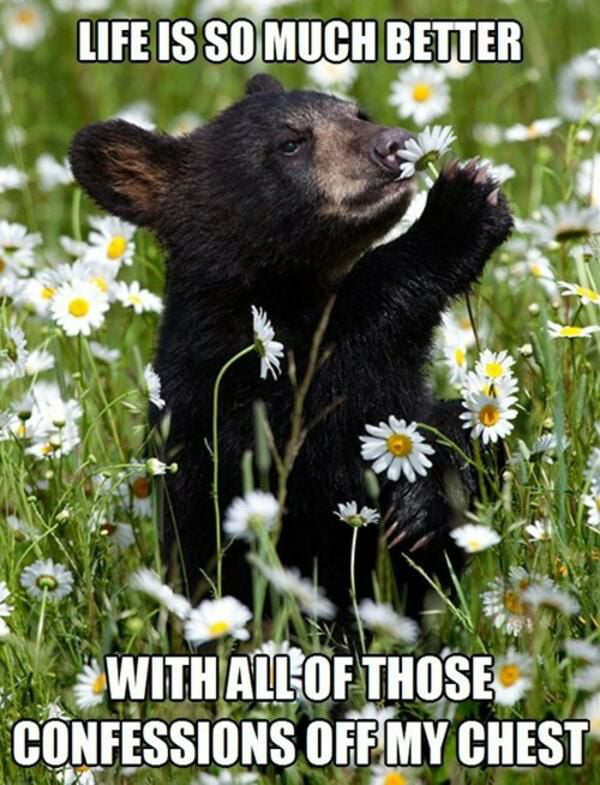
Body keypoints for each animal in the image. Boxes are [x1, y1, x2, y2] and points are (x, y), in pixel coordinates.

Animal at [69, 73, 512, 615]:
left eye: (358, 114)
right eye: (290, 144)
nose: (394, 143)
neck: (284, 300)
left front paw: (428, 491)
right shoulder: (222, 396)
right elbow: (303, 448)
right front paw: (458, 212)